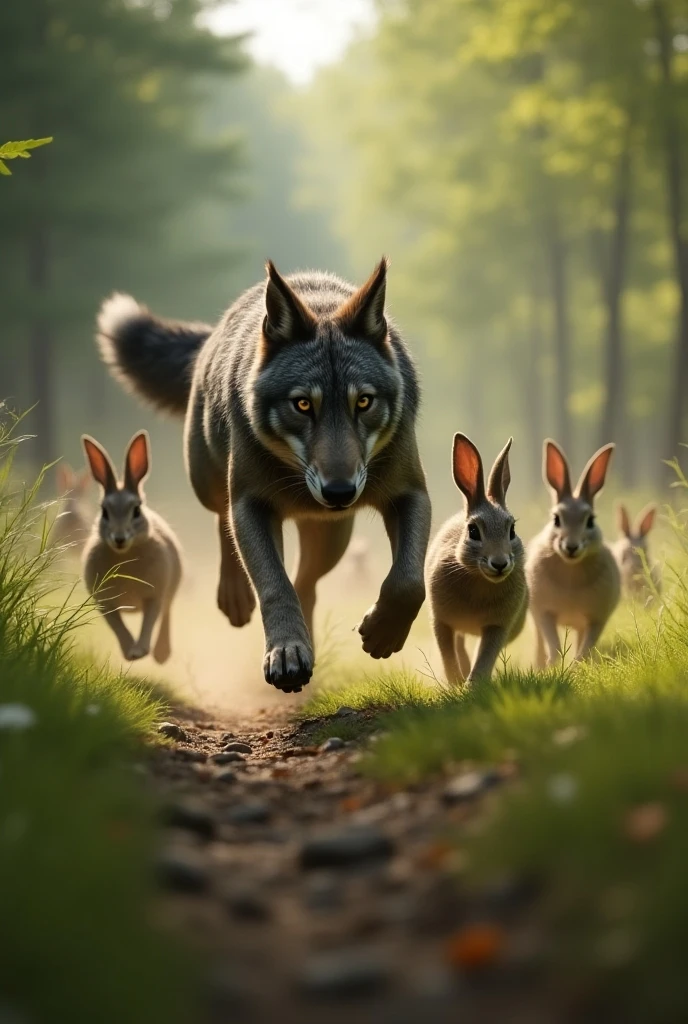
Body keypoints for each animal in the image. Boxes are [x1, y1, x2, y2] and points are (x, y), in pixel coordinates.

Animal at [81, 430, 182, 663]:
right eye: (104, 512)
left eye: (136, 510)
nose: (119, 538)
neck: (124, 556)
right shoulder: (105, 603)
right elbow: (117, 626)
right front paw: (130, 652)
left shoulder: (154, 595)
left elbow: (150, 621)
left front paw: (139, 651)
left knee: (166, 613)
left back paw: (161, 654)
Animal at [426, 434, 528, 684]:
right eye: (473, 531)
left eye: (512, 530)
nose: (500, 563)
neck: (481, 581)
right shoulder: (441, 620)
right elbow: (447, 653)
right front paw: (455, 683)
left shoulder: (498, 625)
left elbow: (485, 655)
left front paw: (473, 685)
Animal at [527, 439, 620, 668]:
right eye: (556, 519)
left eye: (591, 520)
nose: (571, 546)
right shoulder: (544, 611)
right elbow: (554, 644)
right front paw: (554, 666)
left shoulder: (597, 618)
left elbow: (585, 648)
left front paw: (578, 667)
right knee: (540, 641)